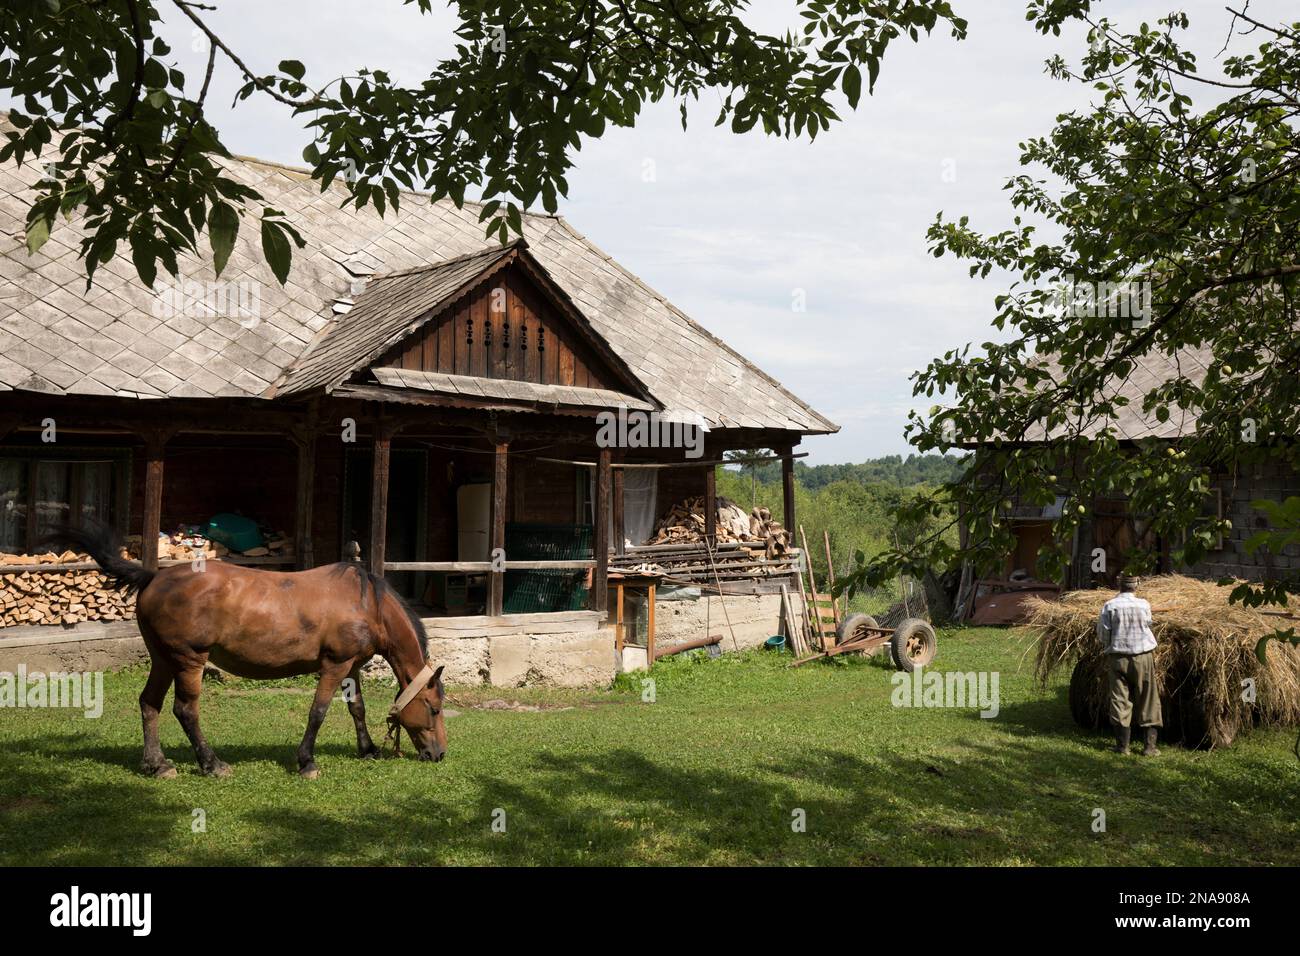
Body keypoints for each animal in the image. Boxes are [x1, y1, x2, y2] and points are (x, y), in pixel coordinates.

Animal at [42, 522, 447, 778]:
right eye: (434, 708)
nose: (440, 754)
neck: (367, 604)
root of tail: (155, 576)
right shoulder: (334, 666)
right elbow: (318, 712)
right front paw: (306, 762)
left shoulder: (351, 666)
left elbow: (357, 708)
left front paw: (368, 749)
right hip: (189, 660)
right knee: (184, 710)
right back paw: (211, 764)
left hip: (163, 659)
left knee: (149, 703)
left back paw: (158, 764)